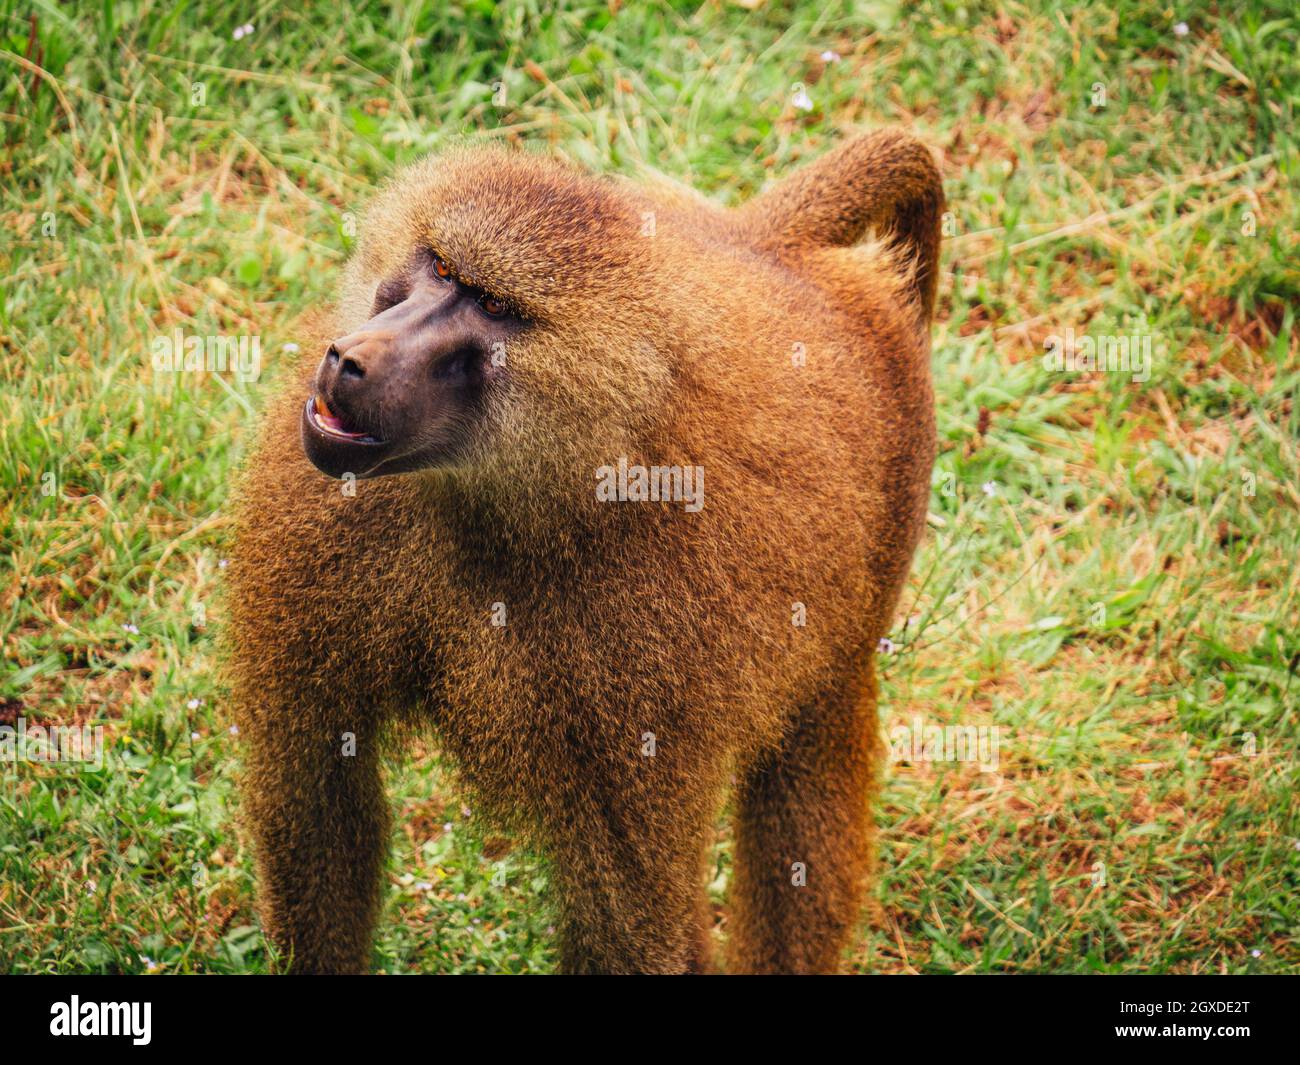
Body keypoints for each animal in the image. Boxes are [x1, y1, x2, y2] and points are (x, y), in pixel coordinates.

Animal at [224, 128, 942, 974]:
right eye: (441, 269)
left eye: (495, 308)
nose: (351, 361)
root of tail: (770, 249)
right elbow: (319, 789)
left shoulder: (641, 669)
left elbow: (624, 918)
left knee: (805, 770)